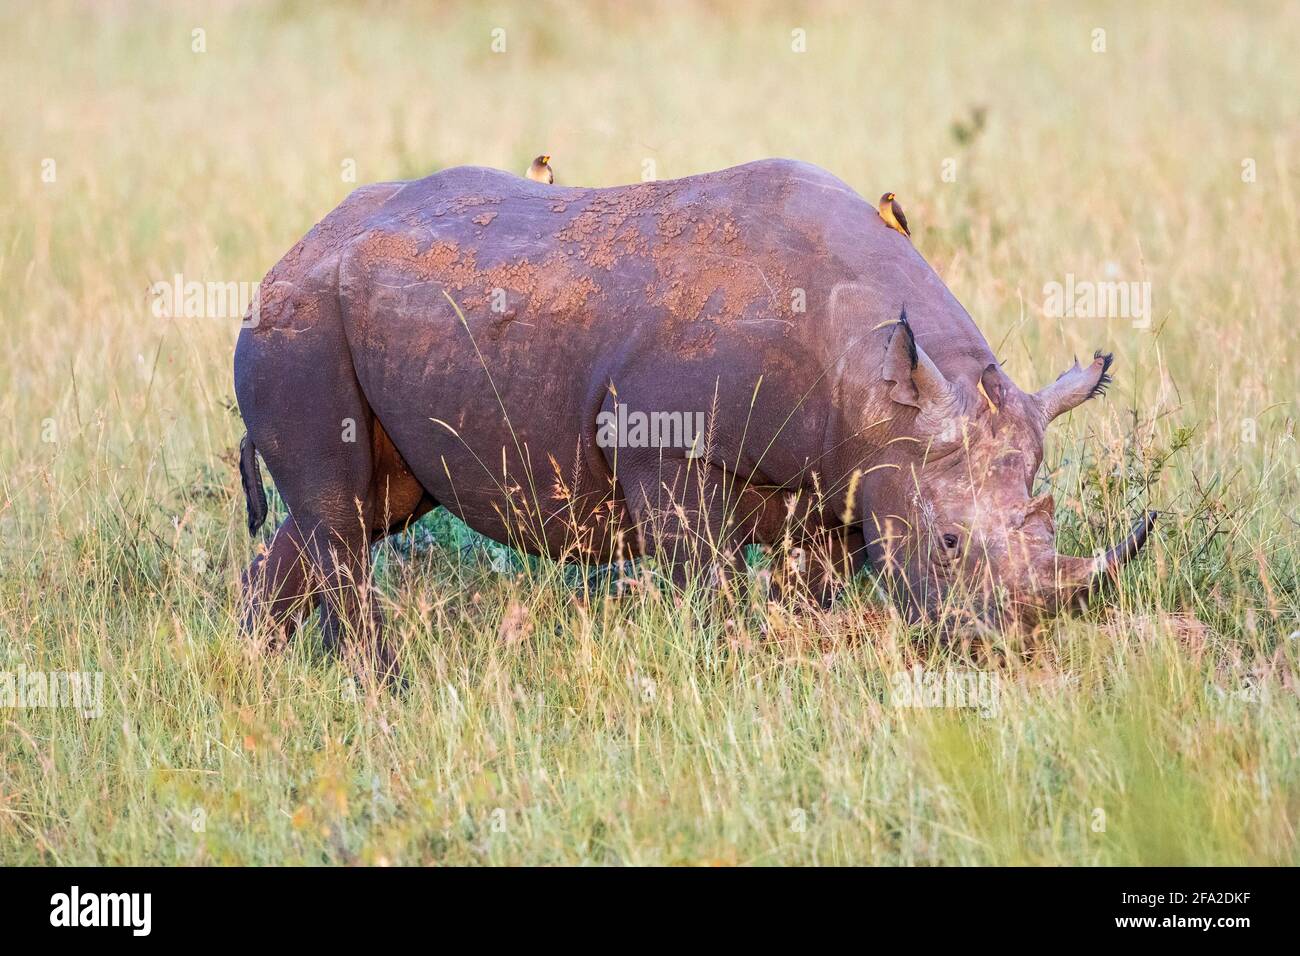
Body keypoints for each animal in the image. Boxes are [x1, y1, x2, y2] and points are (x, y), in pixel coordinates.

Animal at [234, 159, 1154, 668]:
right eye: (951, 544)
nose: (1001, 644)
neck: (872, 380)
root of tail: (293, 249)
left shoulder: (848, 475)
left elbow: (807, 589)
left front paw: (790, 654)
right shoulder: (664, 448)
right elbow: (700, 578)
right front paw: (720, 662)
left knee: (360, 512)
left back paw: (255, 664)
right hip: (299, 321)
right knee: (340, 517)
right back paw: (384, 685)